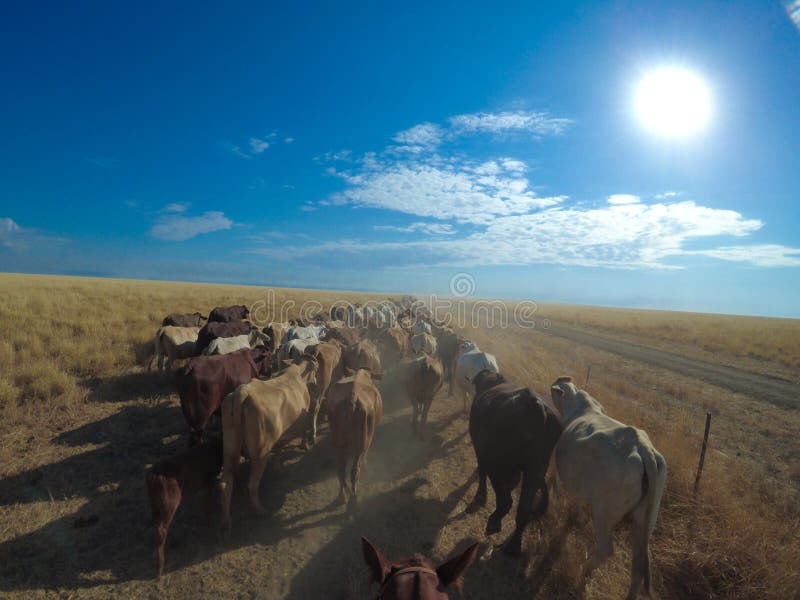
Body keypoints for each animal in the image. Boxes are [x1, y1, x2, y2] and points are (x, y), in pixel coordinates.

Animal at [145, 436, 222, 576]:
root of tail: (154, 475)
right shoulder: (209, 481)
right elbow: (208, 503)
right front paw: (210, 518)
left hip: (155, 506)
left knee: (159, 526)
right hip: (169, 504)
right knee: (161, 530)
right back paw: (160, 568)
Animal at [219, 355, 319, 536]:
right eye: (316, 368)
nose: (315, 382)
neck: (297, 374)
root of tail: (241, 392)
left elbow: (279, 449)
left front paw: (278, 469)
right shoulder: (304, 415)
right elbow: (301, 434)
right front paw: (305, 445)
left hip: (230, 449)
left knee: (225, 483)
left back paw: (226, 523)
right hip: (260, 453)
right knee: (252, 484)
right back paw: (261, 511)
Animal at [327, 368, 383, 510]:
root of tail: (352, 396)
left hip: (338, 442)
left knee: (341, 470)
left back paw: (342, 496)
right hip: (364, 440)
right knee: (354, 470)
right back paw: (353, 498)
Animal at [466, 370, 563, 556]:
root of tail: (534, 405)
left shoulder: (481, 452)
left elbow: (481, 473)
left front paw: (480, 497)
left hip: (497, 462)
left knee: (506, 500)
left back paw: (494, 523)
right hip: (535, 471)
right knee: (523, 510)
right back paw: (513, 545)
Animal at [549, 376, 668, 600]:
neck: (582, 406)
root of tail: (643, 447)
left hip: (603, 513)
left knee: (606, 549)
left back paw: (584, 571)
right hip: (644, 521)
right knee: (638, 564)